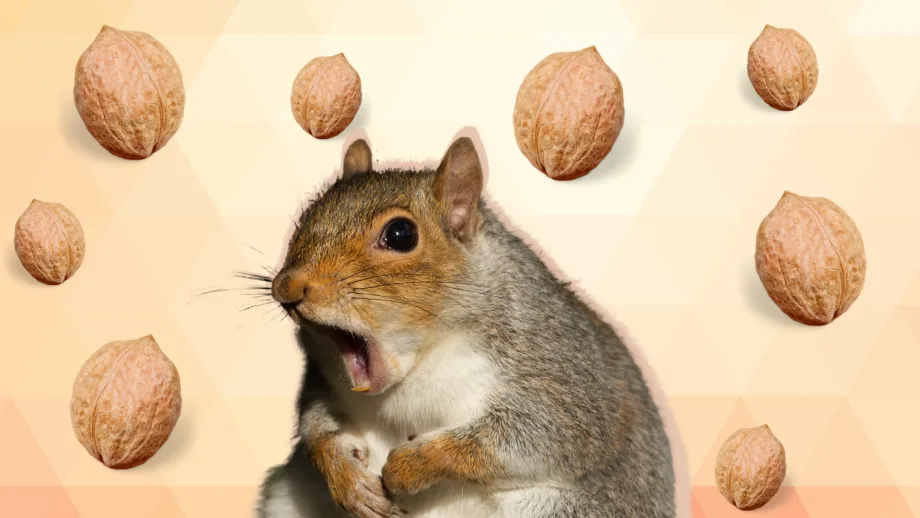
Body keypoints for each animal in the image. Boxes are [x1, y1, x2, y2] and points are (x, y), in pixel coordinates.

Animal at [256, 132, 676, 518]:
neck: (422, 362)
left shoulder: (561, 378)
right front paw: (347, 478)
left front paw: (409, 466)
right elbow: (316, 424)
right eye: (308, 215)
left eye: (400, 234)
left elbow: (531, 438)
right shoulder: (323, 380)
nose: (287, 287)